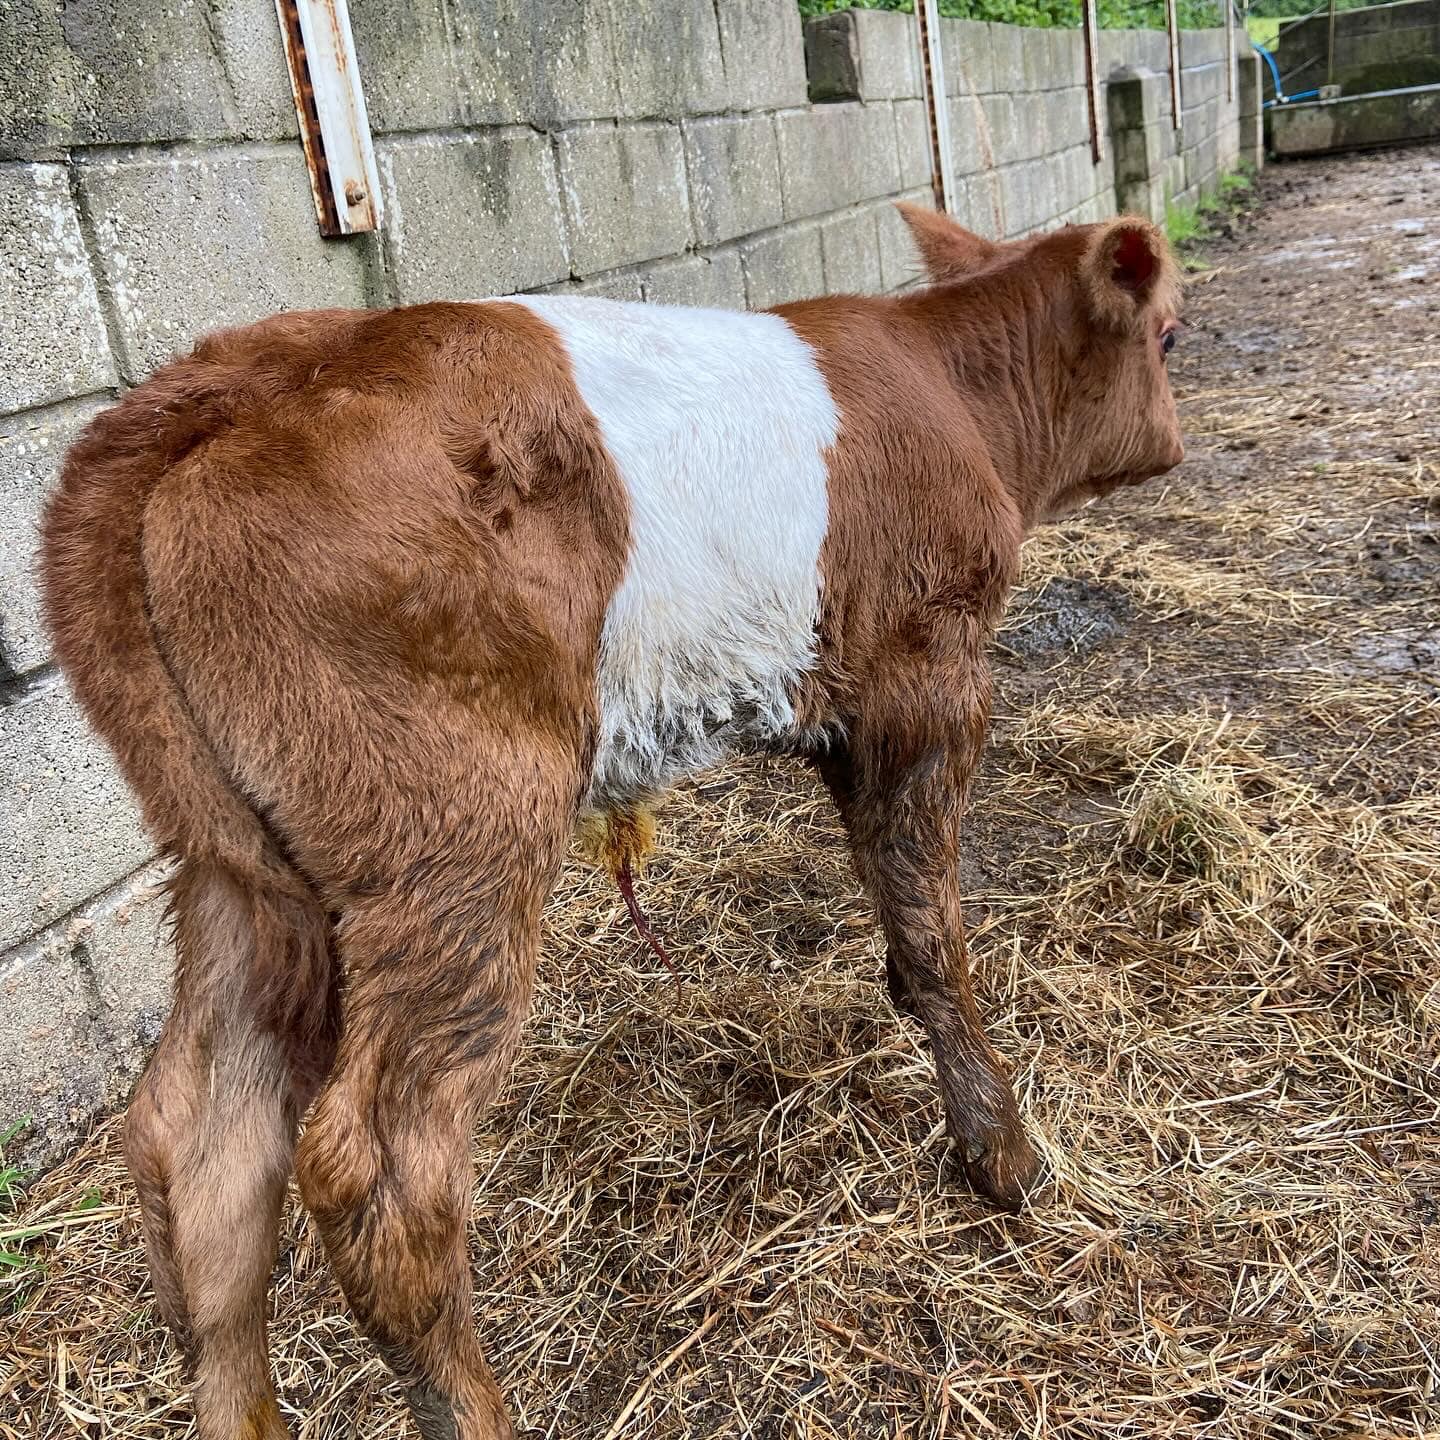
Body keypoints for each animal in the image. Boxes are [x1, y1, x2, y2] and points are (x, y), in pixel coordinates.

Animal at [39, 204, 1184, 1440]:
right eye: (1170, 335)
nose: (1174, 443)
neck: (955, 390)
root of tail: (206, 391)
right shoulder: (930, 681)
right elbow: (934, 943)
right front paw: (1002, 1153)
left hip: (235, 860)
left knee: (201, 1139)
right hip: (453, 834)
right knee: (381, 1171)